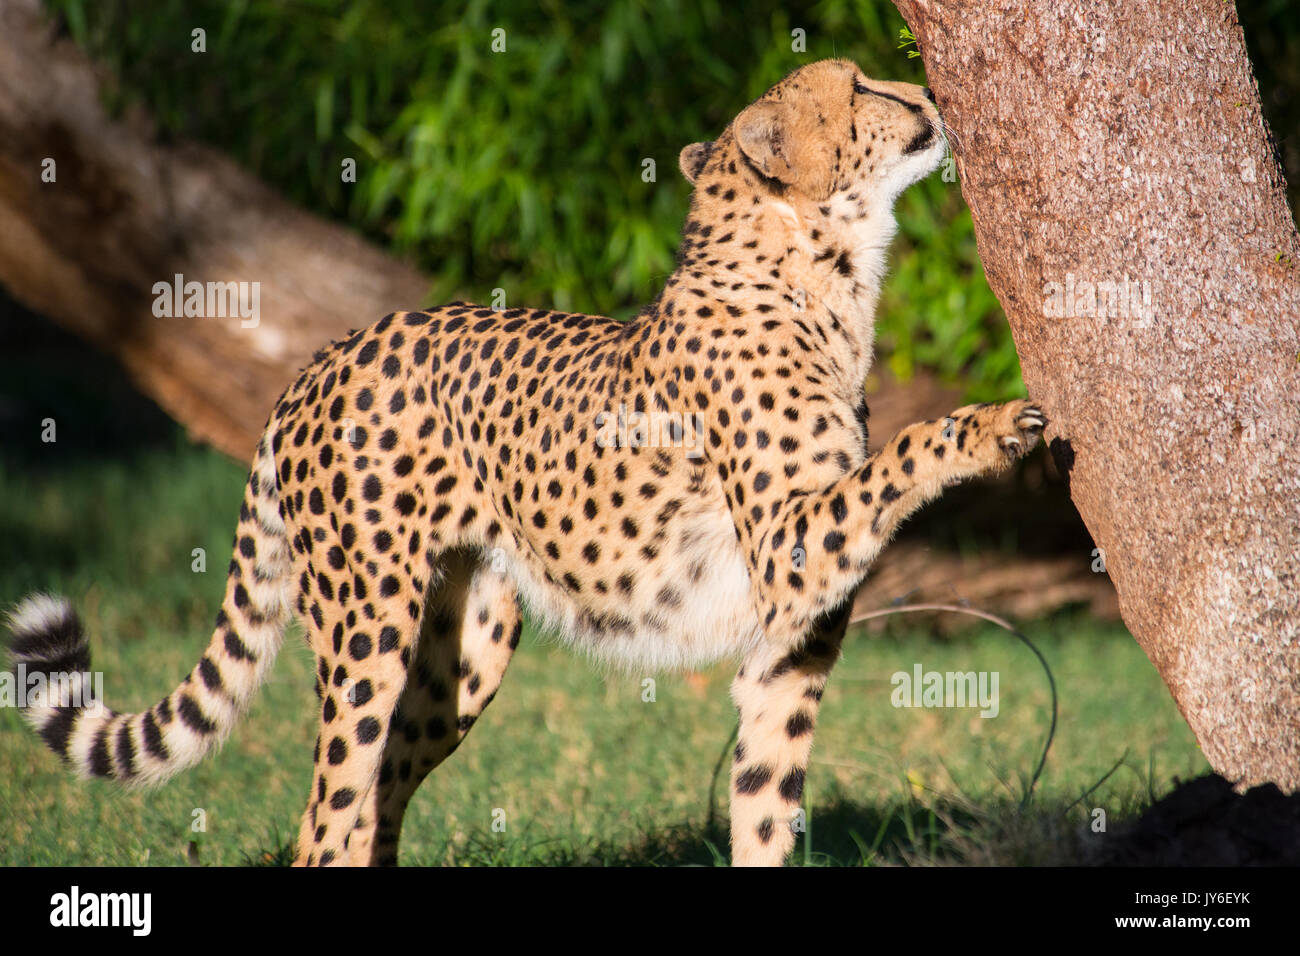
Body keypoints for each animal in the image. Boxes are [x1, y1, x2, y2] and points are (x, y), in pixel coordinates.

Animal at [7, 58, 1044, 867]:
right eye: (862, 85)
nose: (927, 92)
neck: (821, 273)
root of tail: (321, 358)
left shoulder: (787, 649)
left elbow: (763, 809)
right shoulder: (789, 549)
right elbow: (899, 454)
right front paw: (991, 425)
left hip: (460, 654)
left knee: (377, 800)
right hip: (366, 631)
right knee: (326, 820)